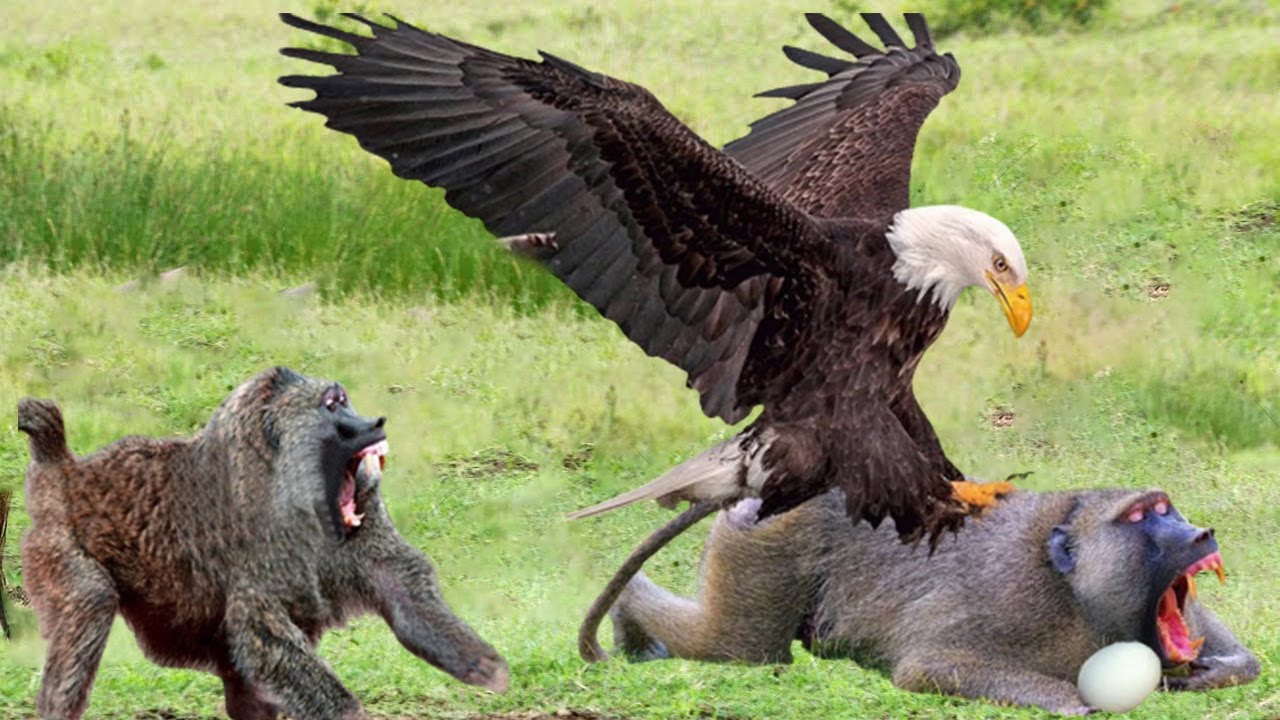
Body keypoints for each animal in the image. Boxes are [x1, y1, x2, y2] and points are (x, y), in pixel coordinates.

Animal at [18, 366, 508, 720]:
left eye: (343, 399)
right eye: (332, 405)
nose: (374, 423)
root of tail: (65, 470)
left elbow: (406, 597)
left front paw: (487, 668)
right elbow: (261, 632)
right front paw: (350, 714)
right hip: (59, 548)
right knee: (91, 606)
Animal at [605, 488, 1260, 715]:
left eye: (1167, 508)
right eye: (1144, 517)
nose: (1199, 533)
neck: (1073, 593)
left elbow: (1240, 658)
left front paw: (1219, 669)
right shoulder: (1006, 593)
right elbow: (925, 667)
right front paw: (1076, 702)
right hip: (769, 536)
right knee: (740, 646)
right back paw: (630, 616)